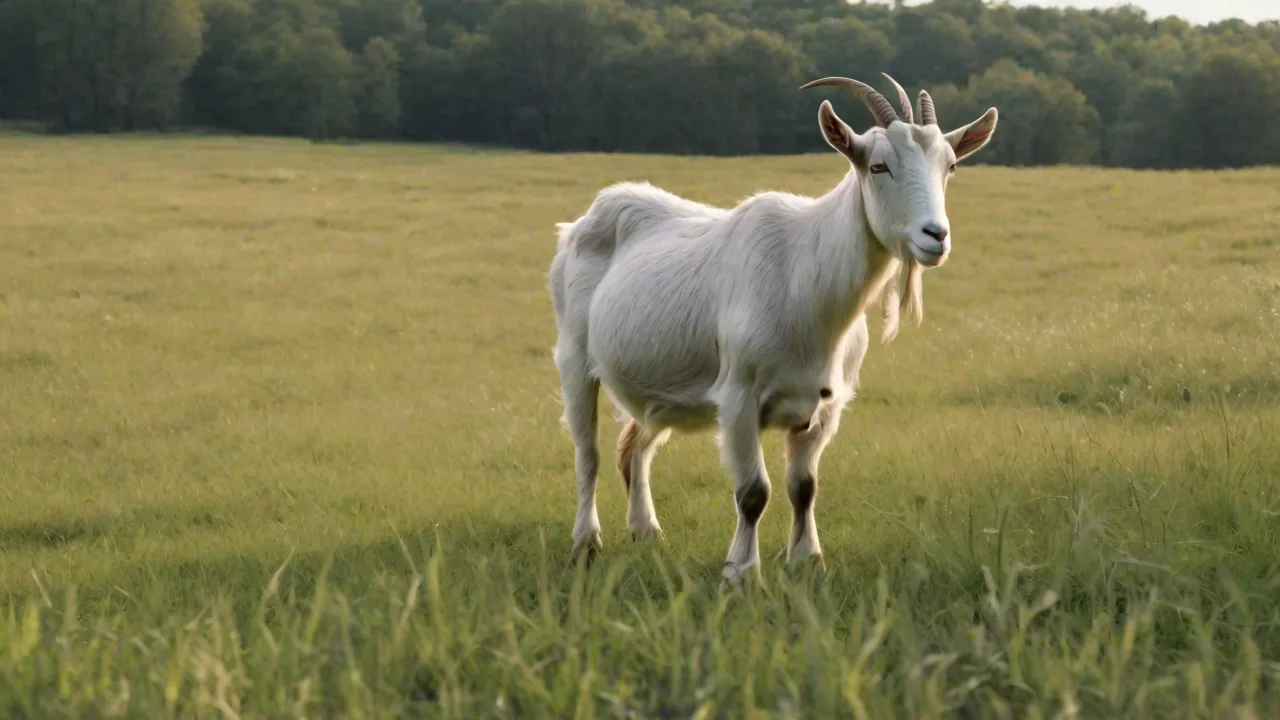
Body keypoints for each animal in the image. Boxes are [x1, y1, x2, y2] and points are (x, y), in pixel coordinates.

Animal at [547, 73, 998, 583]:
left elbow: (804, 487)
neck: (804, 278)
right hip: (574, 358)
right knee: (588, 454)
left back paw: (647, 532)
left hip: (665, 388)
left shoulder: (825, 404)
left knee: (635, 447)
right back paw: (586, 542)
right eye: (879, 166)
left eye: (951, 166)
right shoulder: (739, 396)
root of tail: (582, 221)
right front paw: (740, 574)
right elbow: (753, 493)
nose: (935, 235)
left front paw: (808, 561)